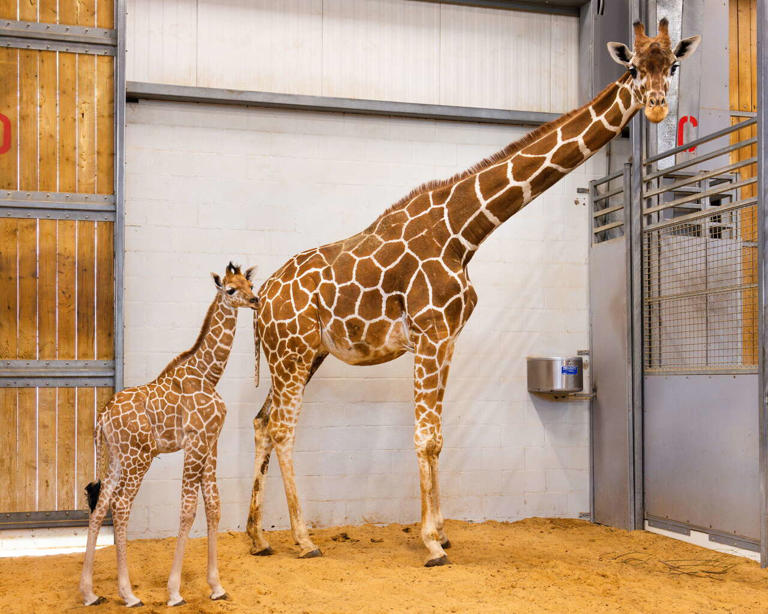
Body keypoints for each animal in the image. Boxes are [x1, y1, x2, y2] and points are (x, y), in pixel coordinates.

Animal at [80, 262, 257, 607]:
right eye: (231, 290)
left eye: (250, 283)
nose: (255, 300)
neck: (208, 374)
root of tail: (103, 416)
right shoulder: (196, 443)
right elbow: (188, 510)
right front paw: (174, 592)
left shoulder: (212, 442)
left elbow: (214, 506)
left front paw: (216, 587)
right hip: (139, 457)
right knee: (120, 505)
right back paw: (129, 594)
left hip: (117, 457)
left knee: (101, 503)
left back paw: (90, 592)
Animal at [245, 20, 701, 567]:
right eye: (632, 67)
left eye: (672, 65)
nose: (655, 106)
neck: (464, 232)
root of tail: (260, 299)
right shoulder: (429, 333)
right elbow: (426, 438)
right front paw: (429, 544)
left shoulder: (447, 340)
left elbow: (439, 438)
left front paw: (441, 533)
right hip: (291, 352)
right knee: (282, 427)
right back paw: (303, 539)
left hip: (304, 353)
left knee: (261, 421)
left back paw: (258, 537)